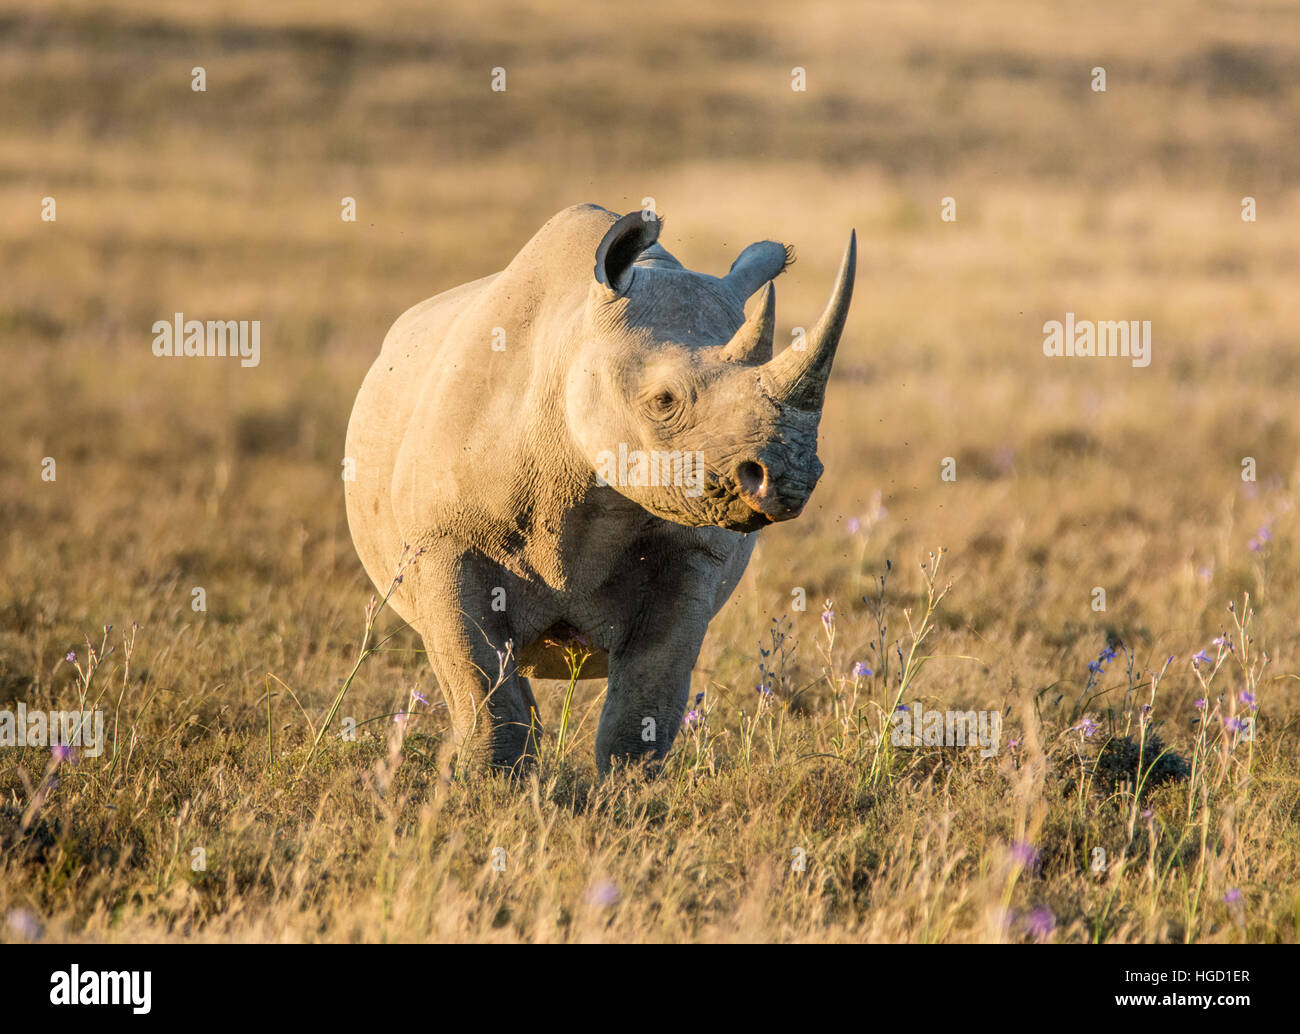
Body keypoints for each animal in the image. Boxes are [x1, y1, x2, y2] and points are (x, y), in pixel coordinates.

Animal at [344, 204, 855, 774]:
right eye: (663, 401)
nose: (789, 477)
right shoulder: (443, 538)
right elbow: (479, 684)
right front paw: (493, 784)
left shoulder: (693, 547)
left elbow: (649, 690)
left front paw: (628, 787)